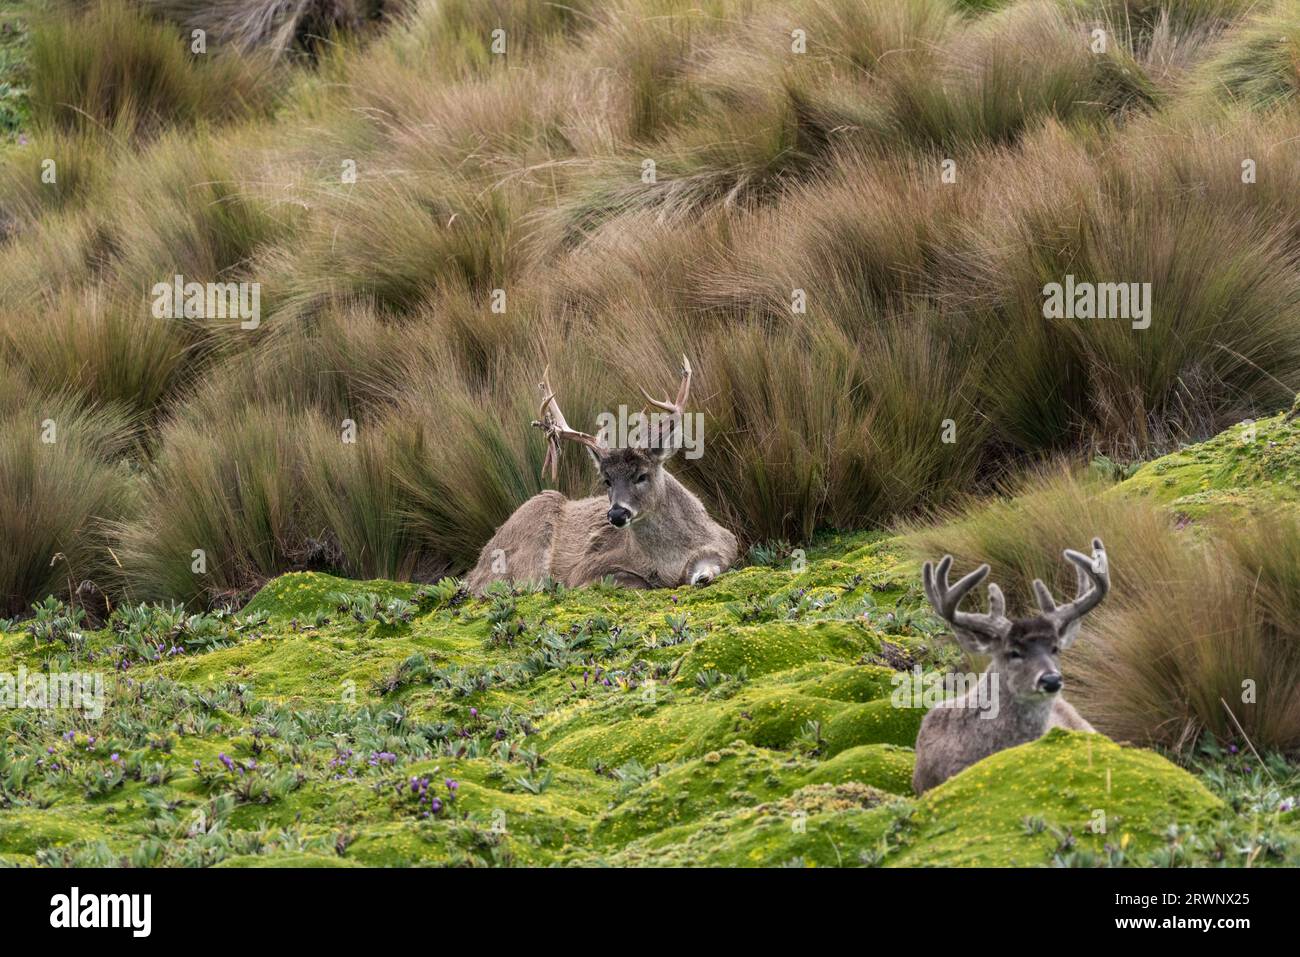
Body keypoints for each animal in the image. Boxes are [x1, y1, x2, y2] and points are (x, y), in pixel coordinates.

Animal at [466, 356, 738, 596]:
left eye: (642, 475)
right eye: (606, 480)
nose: (617, 514)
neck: (669, 563)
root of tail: (475, 569)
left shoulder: (727, 544)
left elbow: (711, 566)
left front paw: (701, 575)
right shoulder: (588, 567)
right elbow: (633, 581)